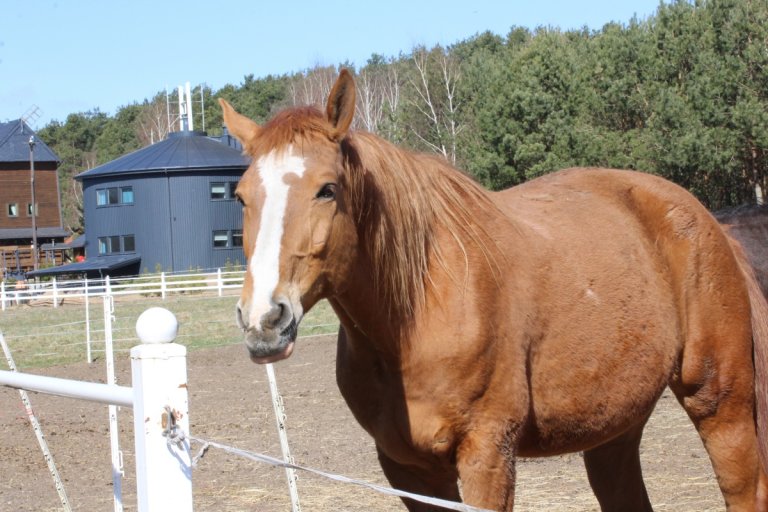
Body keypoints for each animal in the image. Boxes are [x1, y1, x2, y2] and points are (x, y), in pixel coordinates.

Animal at [220, 70, 768, 511]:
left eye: (327, 189)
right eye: (241, 196)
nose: (264, 319)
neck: (417, 316)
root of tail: (706, 220)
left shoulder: (486, 454)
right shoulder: (407, 469)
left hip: (721, 406)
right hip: (615, 427)